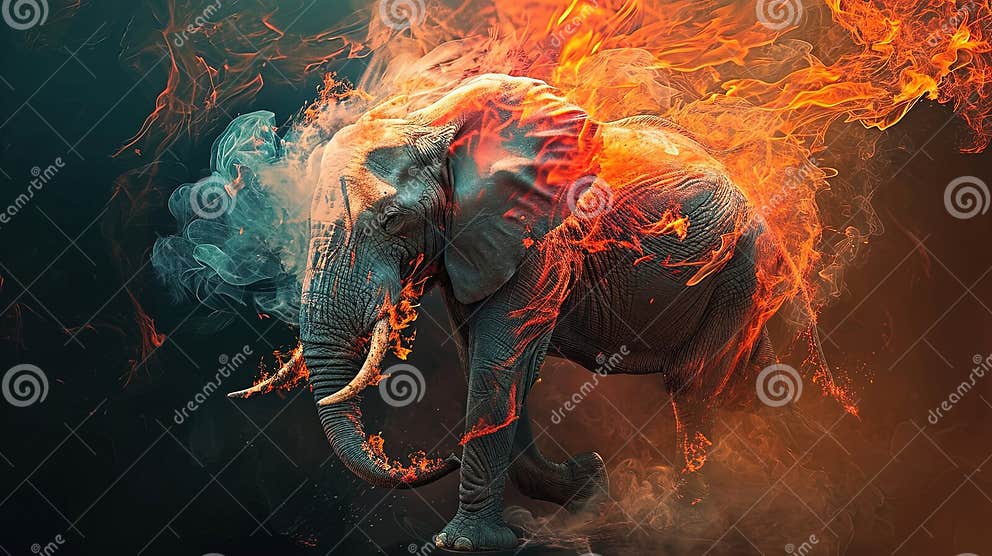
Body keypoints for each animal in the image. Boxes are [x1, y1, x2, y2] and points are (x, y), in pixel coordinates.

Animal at [223, 73, 776, 551]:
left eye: (392, 220)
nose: (439, 459)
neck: (431, 123)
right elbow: (489, 364)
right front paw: (585, 483)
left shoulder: (543, 241)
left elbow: (499, 362)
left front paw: (463, 545)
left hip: (740, 265)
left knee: (691, 383)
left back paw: (689, 518)